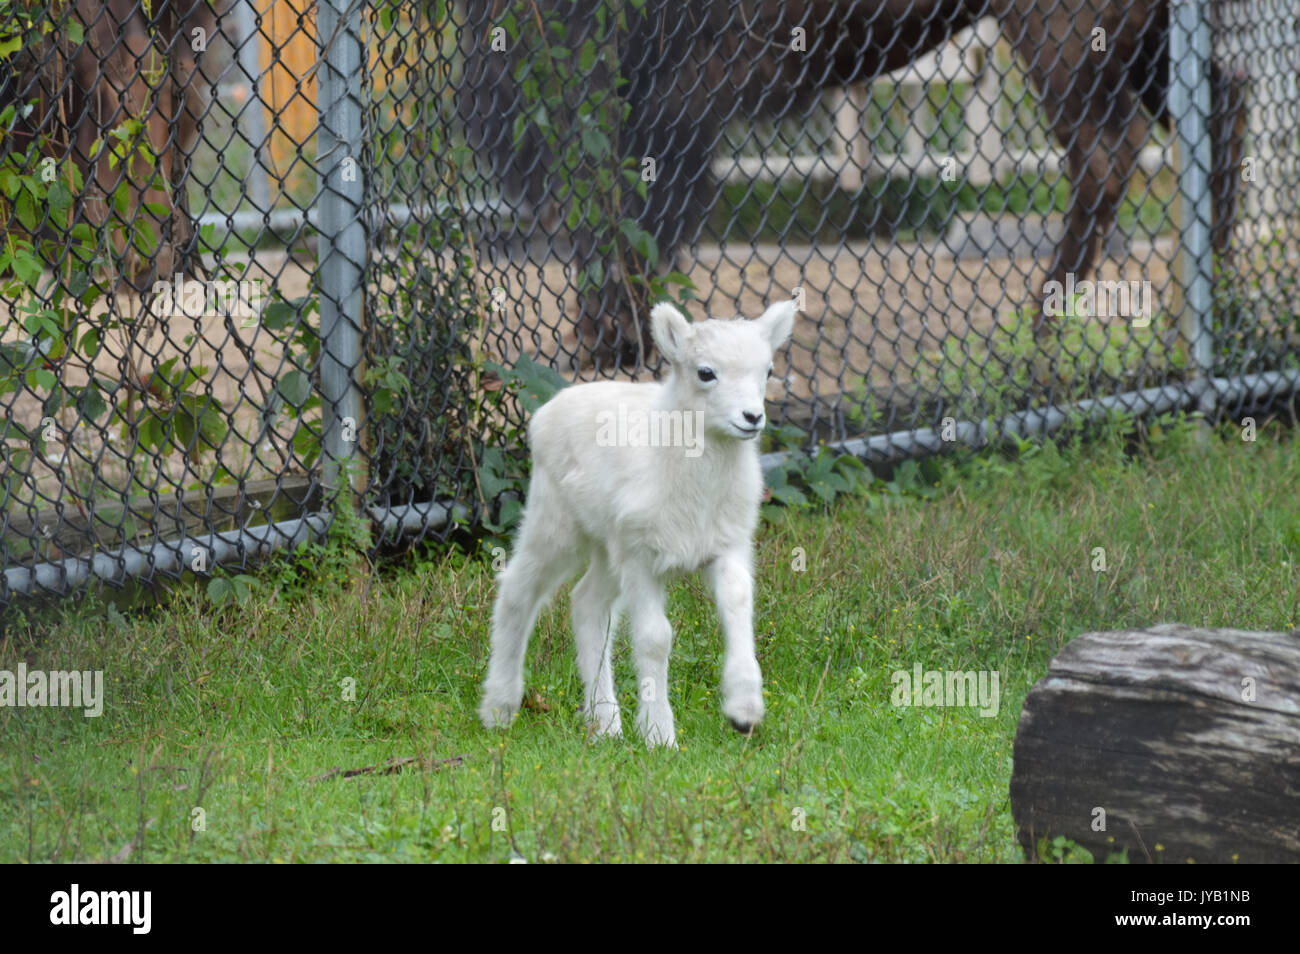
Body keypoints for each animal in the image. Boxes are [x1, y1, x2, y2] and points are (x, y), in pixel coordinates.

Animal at [478, 299, 797, 747]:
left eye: (767, 371)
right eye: (705, 372)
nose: (752, 417)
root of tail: (546, 411)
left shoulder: (727, 545)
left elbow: (738, 605)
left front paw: (744, 711)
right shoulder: (641, 558)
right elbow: (655, 639)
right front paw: (660, 736)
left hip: (608, 546)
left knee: (587, 603)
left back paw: (606, 724)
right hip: (557, 520)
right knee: (518, 590)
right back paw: (499, 708)